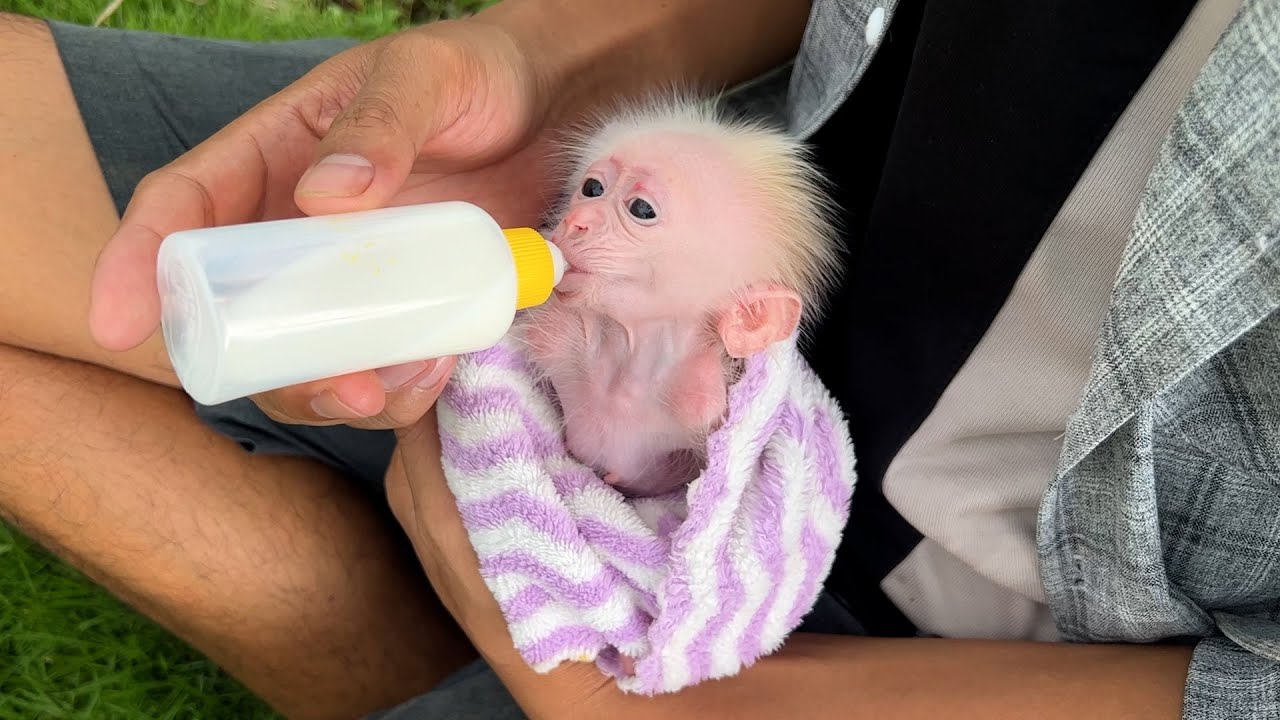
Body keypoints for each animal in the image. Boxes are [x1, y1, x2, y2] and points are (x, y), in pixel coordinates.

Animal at [515, 90, 845, 499]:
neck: (631, 363)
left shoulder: (704, 400)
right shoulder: (549, 334)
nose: (576, 222)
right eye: (592, 189)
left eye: (641, 209)